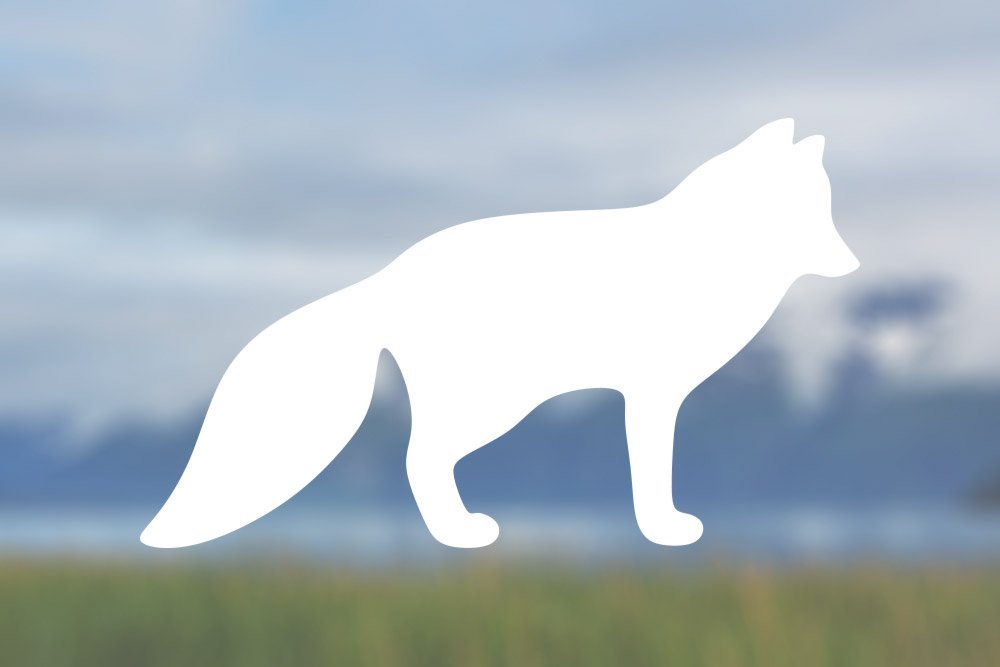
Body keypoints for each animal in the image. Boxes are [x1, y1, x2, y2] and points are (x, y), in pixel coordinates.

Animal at [141, 118, 859, 550]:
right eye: (813, 213)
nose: (853, 263)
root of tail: (391, 273)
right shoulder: (654, 396)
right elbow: (653, 471)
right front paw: (665, 530)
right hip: (491, 406)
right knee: (418, 459)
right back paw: (461, 534)